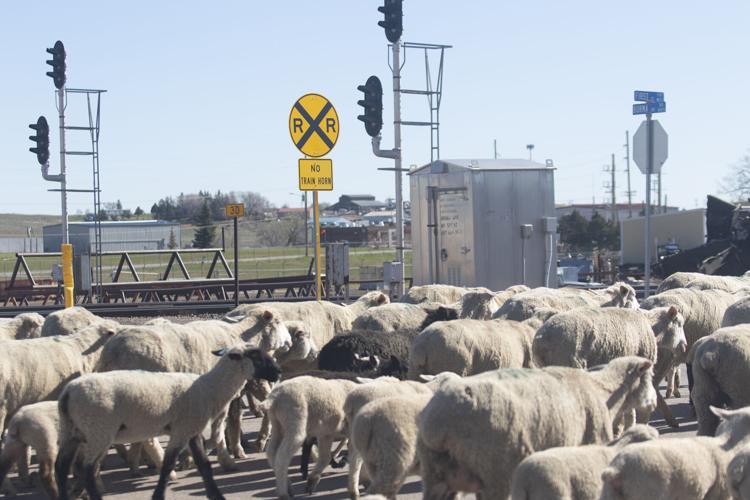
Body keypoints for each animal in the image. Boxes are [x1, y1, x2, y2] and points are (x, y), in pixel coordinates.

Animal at [54, 345, 281, 500]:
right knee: (87, 468)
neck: (209, 389)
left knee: (61, 467)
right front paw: (158, 495)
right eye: (256, 357)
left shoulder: (191, 430)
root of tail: (68, 393)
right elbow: (167, 465)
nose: (278, 373)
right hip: (99, 430)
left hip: (71, 432)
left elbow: (204, 465)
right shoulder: (180, 431)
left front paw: (216, 495)